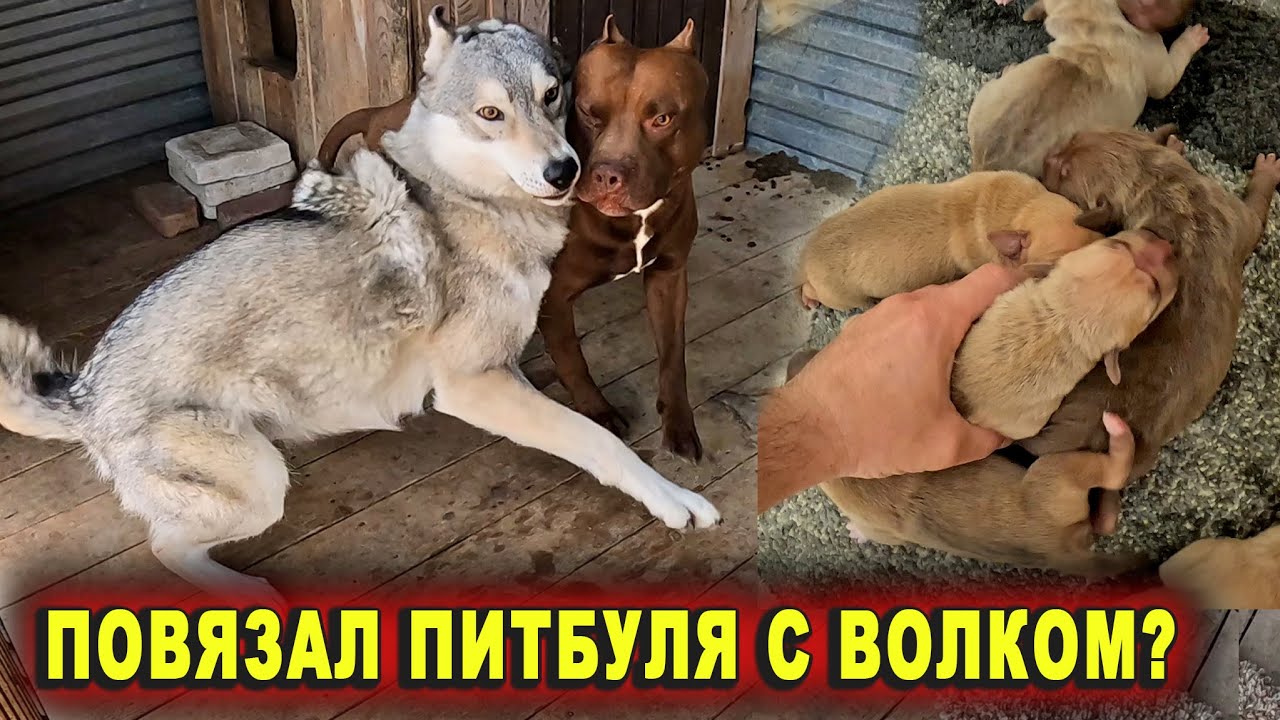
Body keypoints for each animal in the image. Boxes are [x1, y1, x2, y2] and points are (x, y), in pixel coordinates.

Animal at [0, 8, 719, 604]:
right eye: (491, 115)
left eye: (553, 97)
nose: (565, 171)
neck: (468, 198)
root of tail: (85, 393)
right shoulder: (472, 388)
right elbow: (600, 440)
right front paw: (674, 501)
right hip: (261, 485)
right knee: (162, 548)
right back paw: (249, 593)